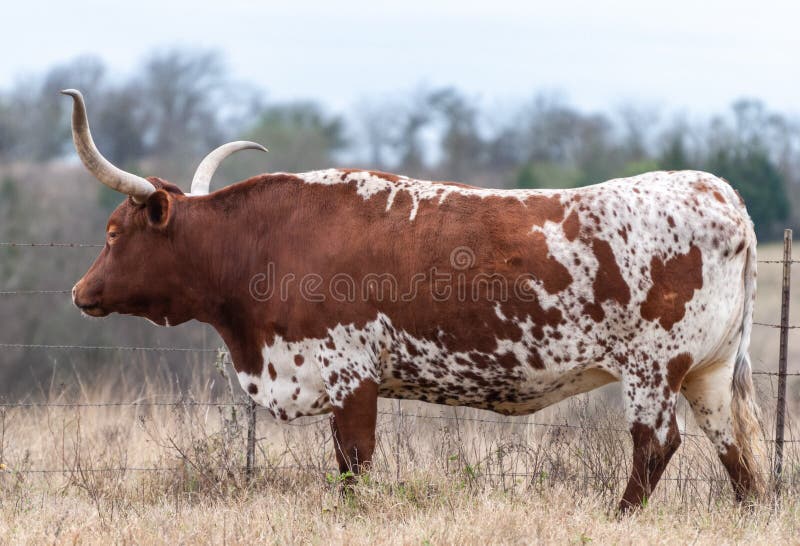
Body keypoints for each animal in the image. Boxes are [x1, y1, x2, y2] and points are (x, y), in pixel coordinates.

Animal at [64, 89, 765, 512]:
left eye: (114, 233)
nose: (79, 292)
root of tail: (723, 196)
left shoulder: (350, 377)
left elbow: (353, 467)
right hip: (708, 371)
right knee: (737, 450)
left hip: (654, 368)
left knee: (656, 445)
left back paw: (616, 518)